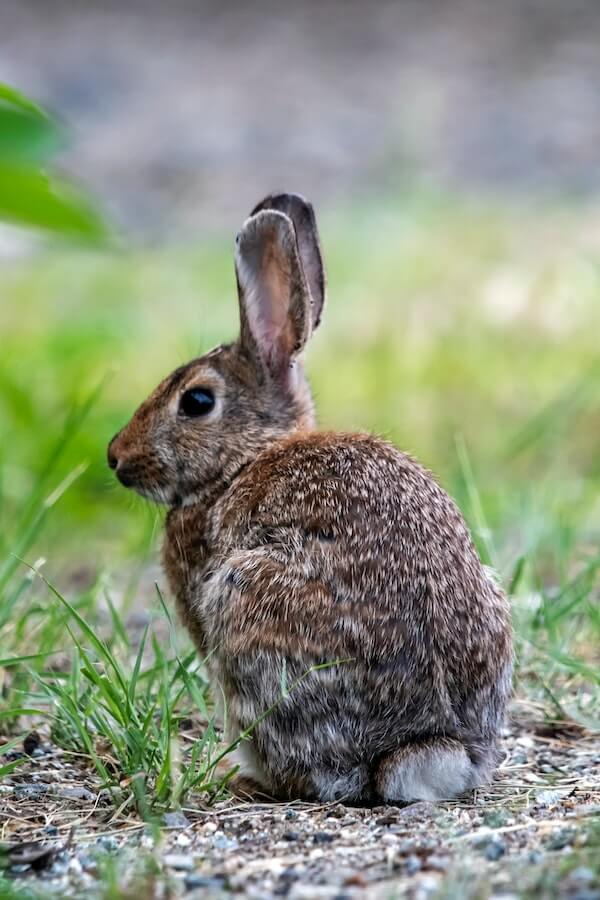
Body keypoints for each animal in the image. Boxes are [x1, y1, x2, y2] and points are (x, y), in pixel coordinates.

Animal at [108, 192, 513, 805]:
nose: (116, 458)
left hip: (248, 609)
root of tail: (422, 744)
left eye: (196, 401)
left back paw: (245, 778)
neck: (242, 460)